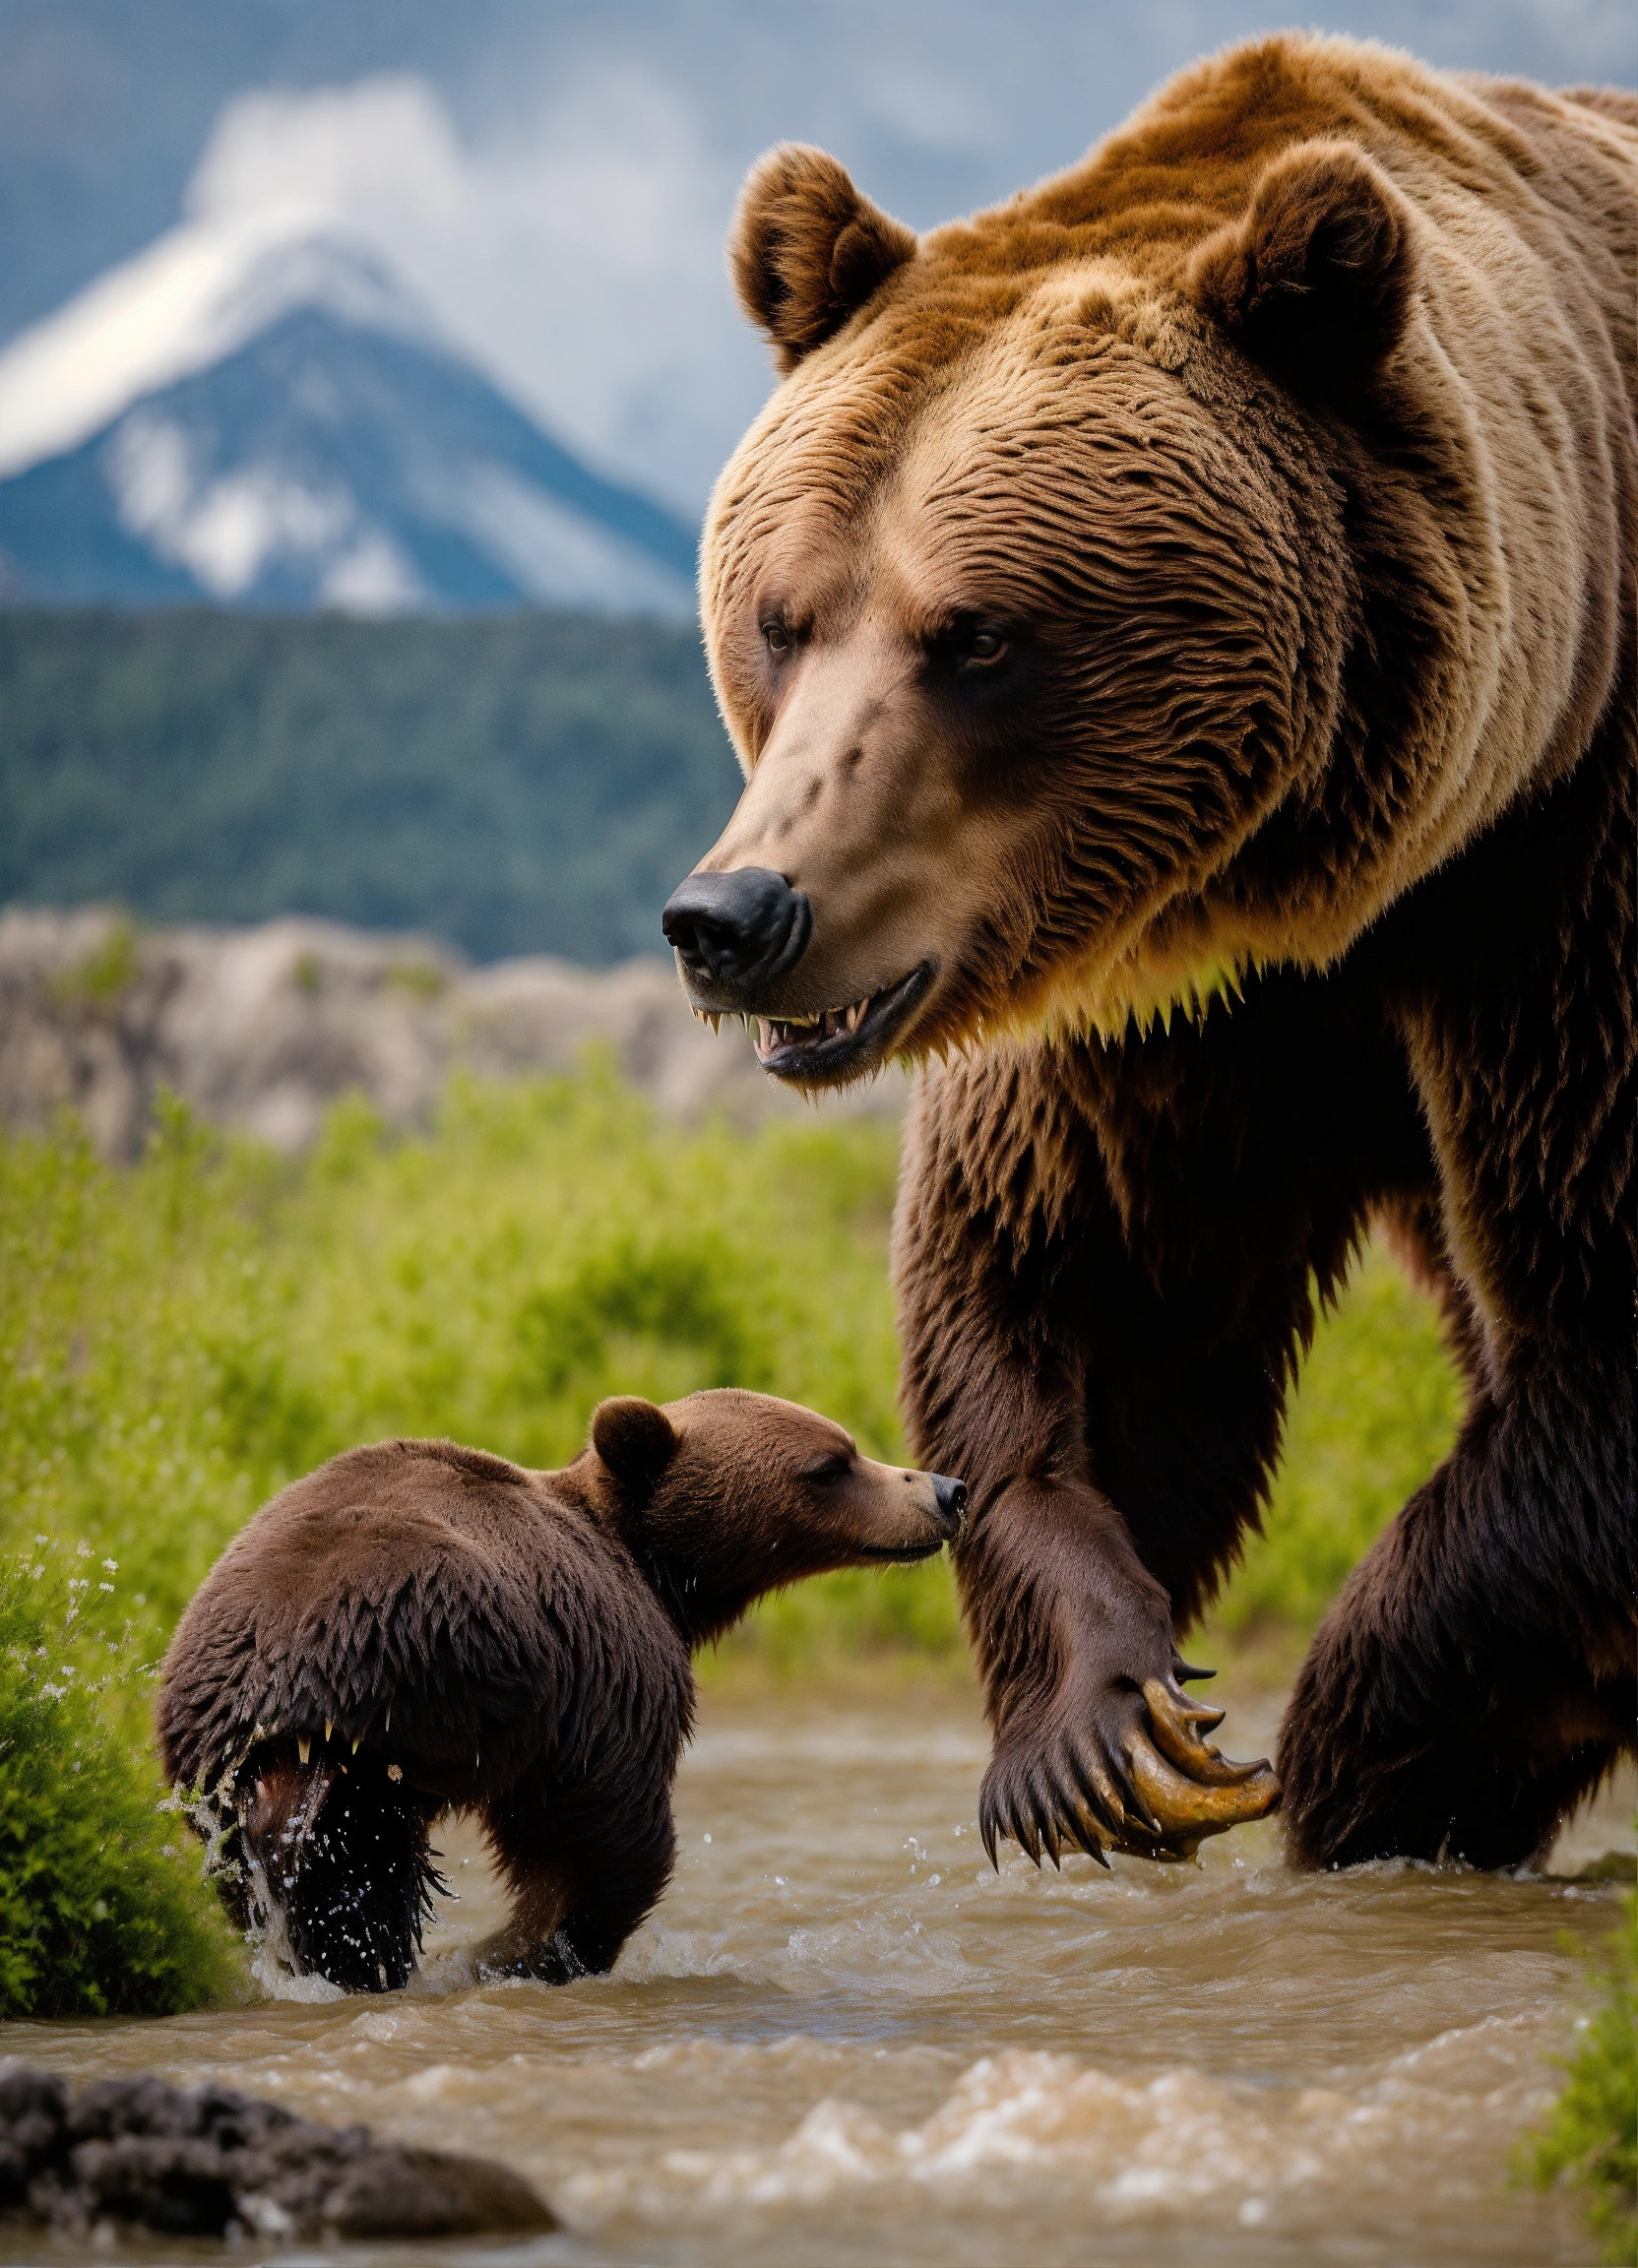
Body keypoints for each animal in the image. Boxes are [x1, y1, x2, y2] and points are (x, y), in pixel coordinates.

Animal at [158, 1391, 966, 1990]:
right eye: (832, 1462)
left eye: (847, 1447)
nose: (947, 1489)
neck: (658, 1571)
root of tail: (281, 1678)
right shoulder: (604, 1677)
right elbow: (602, 1837)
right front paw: (520, 1951)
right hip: (431, 1675)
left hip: (230, 1758)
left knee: (331, 1880)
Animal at [661, 34, 1636, 1873]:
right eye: (780, 613)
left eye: (971, 632)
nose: (736, 915)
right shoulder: (1155, 981)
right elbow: (1080, 1292)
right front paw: (1110, 1733)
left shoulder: (1556, 876)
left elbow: (1600, 1329)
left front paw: (1351, 1773)